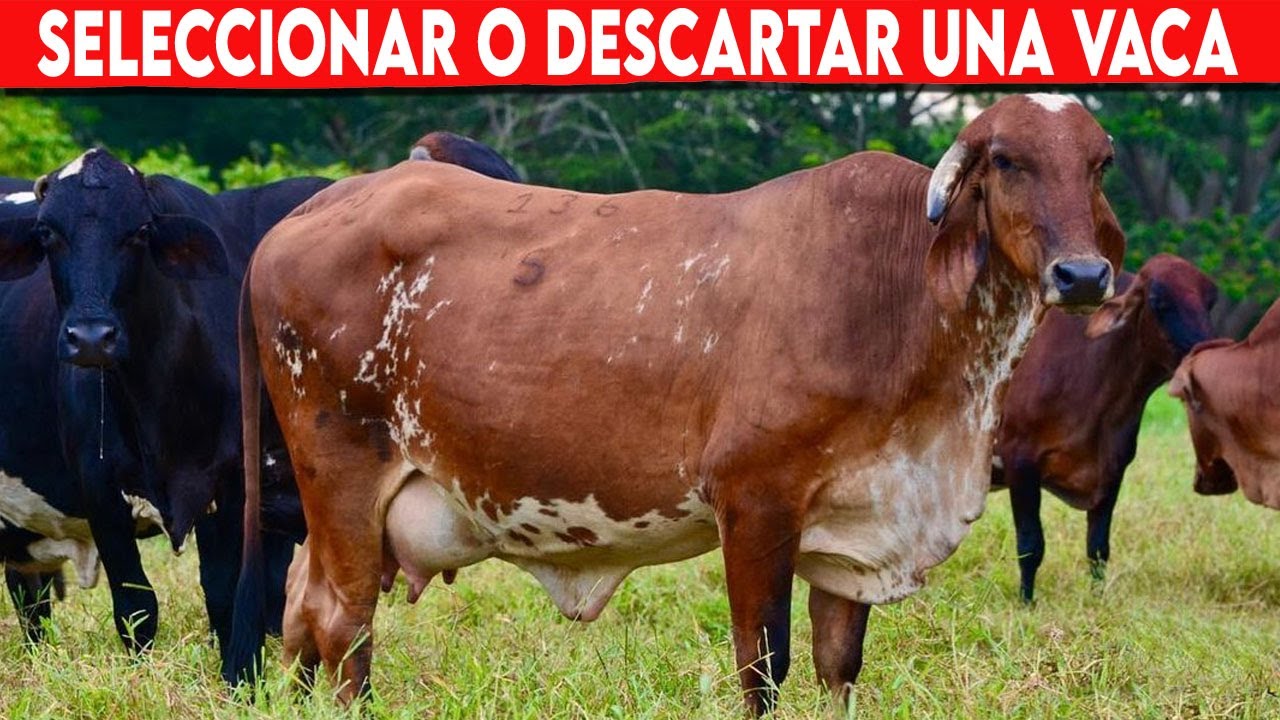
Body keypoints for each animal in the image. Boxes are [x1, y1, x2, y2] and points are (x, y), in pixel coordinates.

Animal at [236, 94, 1122, 713]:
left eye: (1099, 162)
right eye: (1006, 159)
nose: (1083, 275)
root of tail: (313, 210)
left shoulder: (855, 524)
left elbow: (838, 665)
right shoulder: (755, 502)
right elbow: (762, 666)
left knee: (302, 612)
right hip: (342, 474)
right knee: (343, 624)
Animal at [992, 254, 1218, 603]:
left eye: (1210, 302)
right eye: (1159, 301)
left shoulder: (1114, 468)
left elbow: (1098, 548)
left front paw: (1098, 599)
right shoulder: (1019, 460)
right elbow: (1031, 545)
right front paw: (1026, 603)